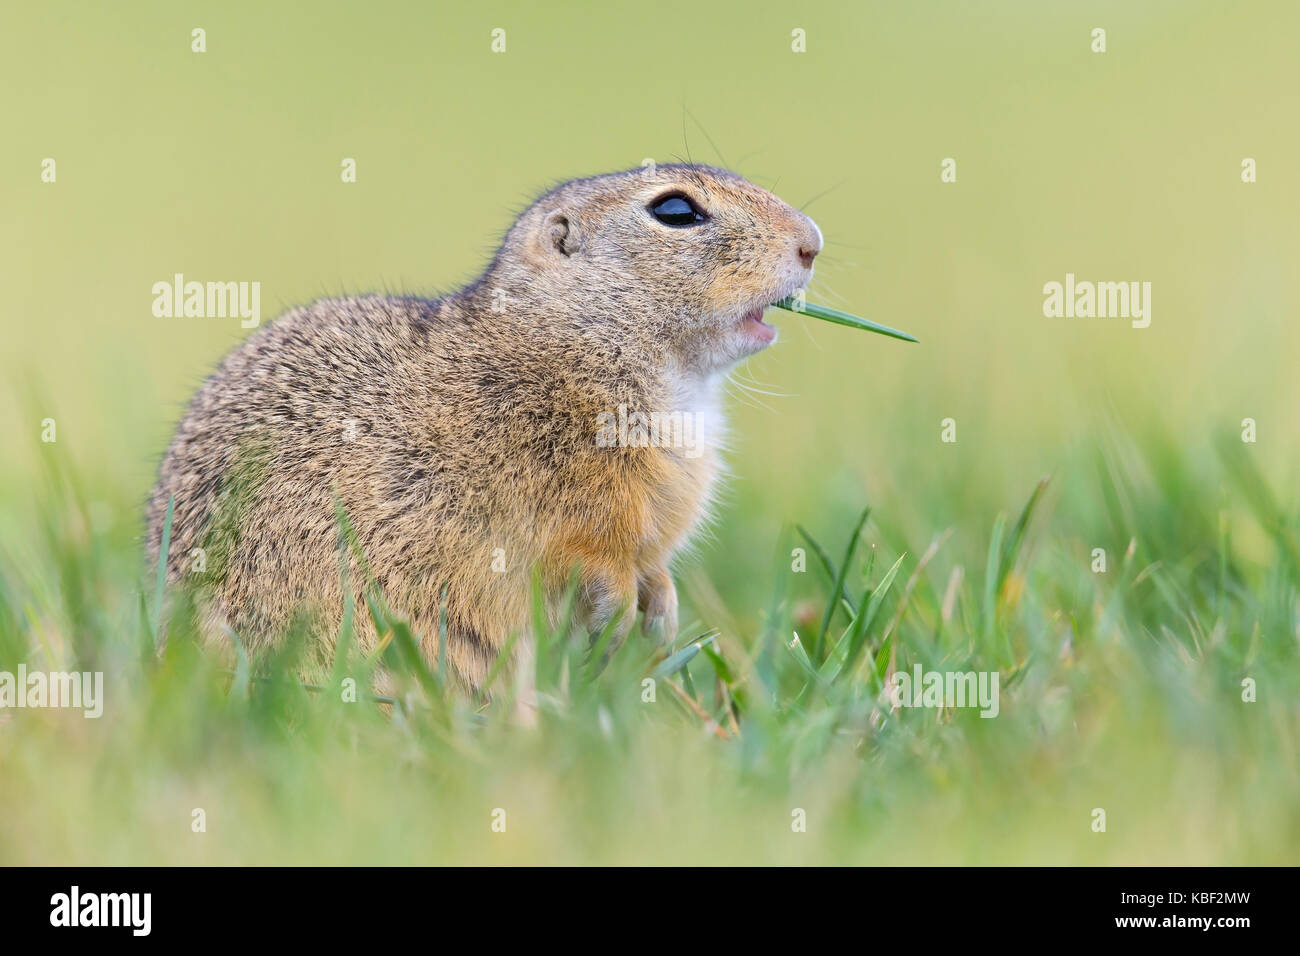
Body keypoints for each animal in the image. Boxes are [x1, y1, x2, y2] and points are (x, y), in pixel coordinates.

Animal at [146, 163, 822, 701]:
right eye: (676, 211)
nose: (811, 242)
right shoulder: (571, 504)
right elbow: (593, 560)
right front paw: (621, 615)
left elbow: (653, 565)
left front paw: (663, 610)